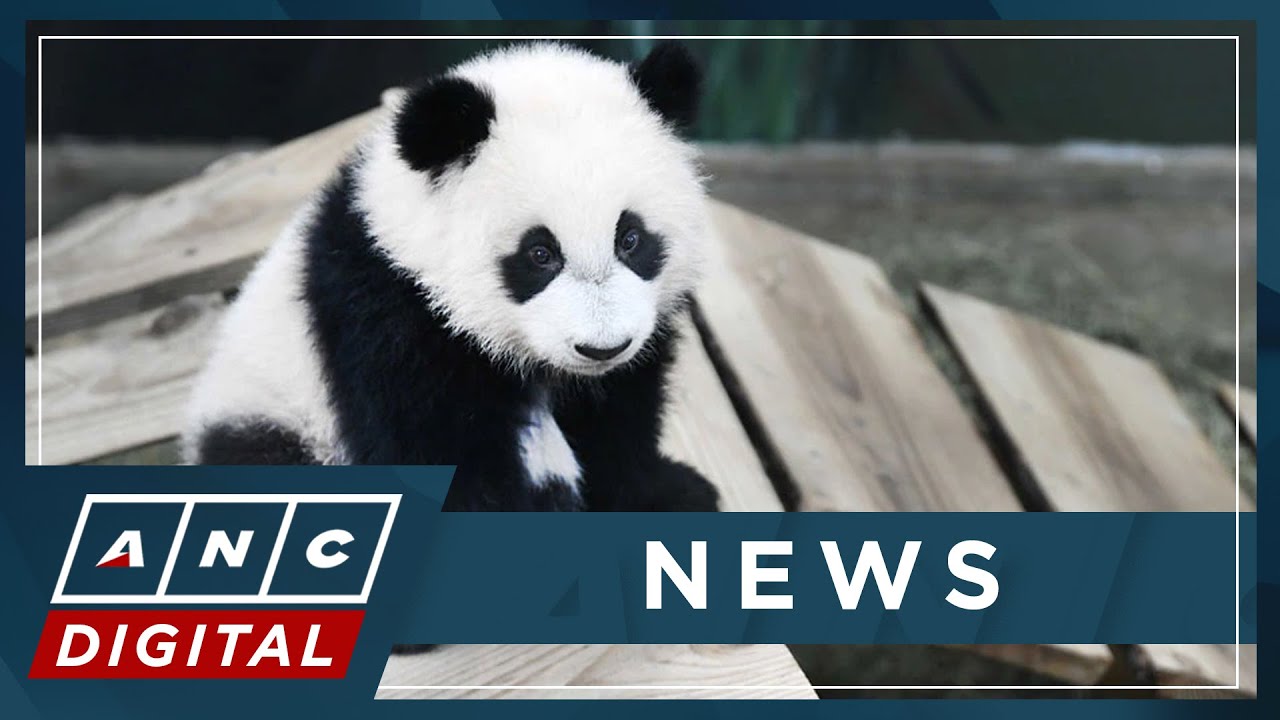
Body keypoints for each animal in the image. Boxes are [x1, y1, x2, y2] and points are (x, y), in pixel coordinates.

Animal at [182, 41, 720, 514]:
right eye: (539, 254)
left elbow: (617, 416)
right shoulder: (388, 317)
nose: (602, 348)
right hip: (276, 419)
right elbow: (440, 457)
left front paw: (664, 495)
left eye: (629, 239)